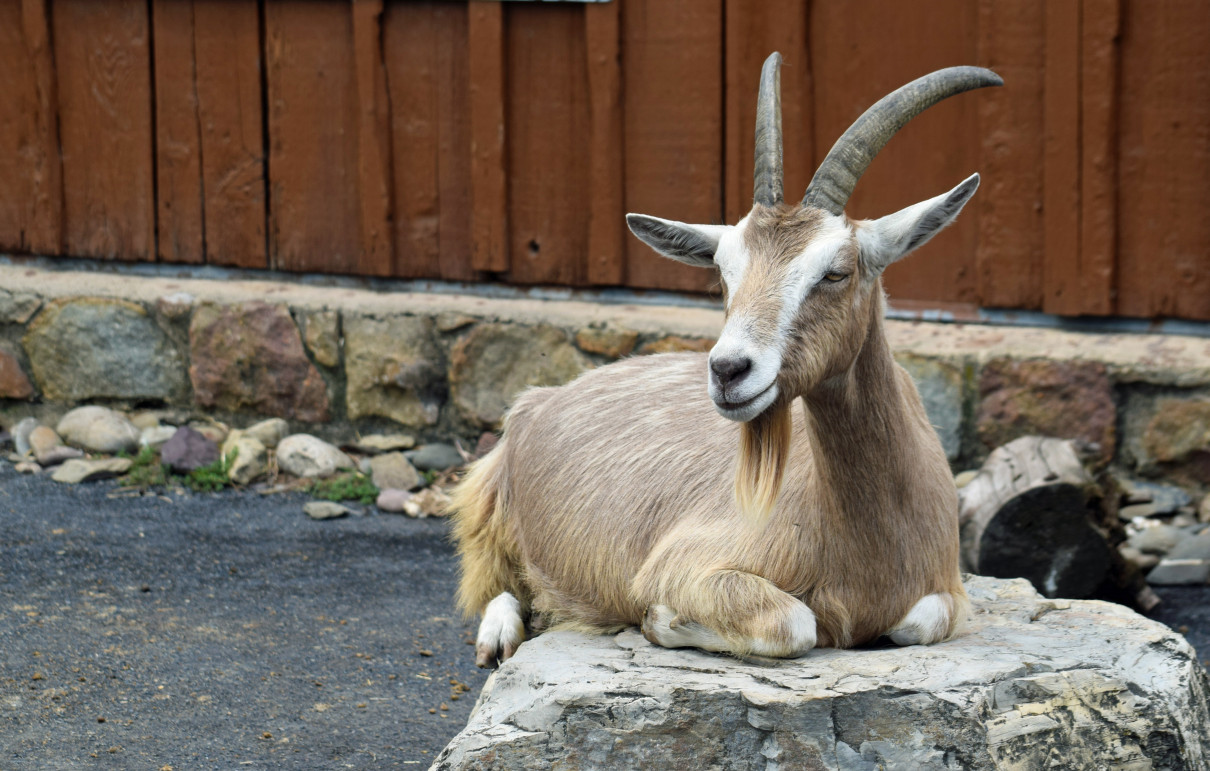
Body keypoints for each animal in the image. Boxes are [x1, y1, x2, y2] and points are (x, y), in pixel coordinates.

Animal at [452, 53, 1002, 666]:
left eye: (835, 272)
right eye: (723, 271)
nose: (728, 371)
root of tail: (540, 400)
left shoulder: (943, 595)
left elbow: (919, 621)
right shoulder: (686, 565)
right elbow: (795, 622)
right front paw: (661, 621)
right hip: (491, 508)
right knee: (496, 579)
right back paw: (500, 637)